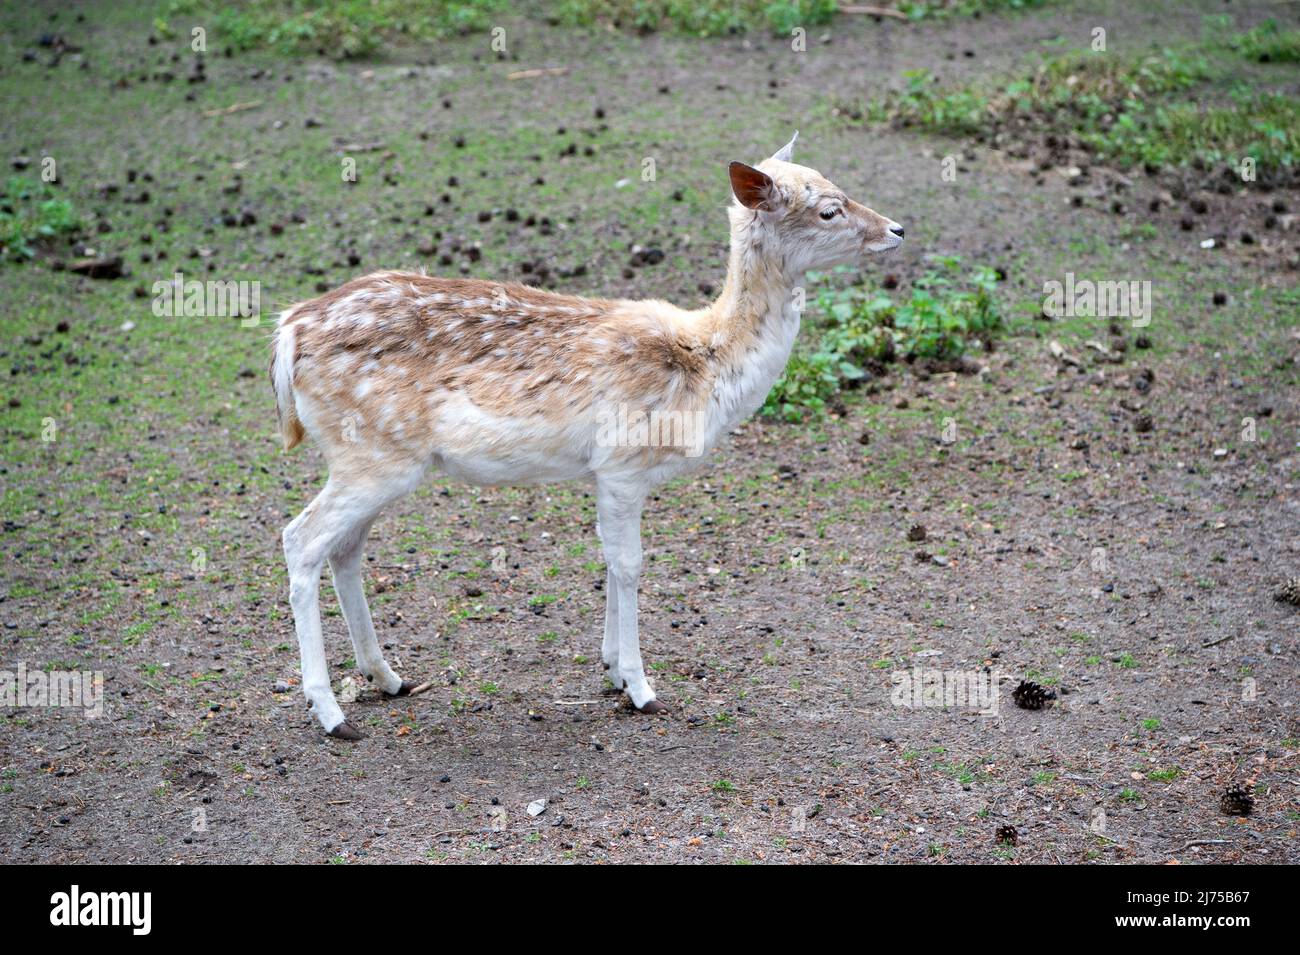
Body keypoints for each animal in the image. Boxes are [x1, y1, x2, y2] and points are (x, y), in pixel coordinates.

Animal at [271, 133, 904, 739]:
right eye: (828, 209)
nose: (897, 228)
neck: (705, 366)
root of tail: (286, 334)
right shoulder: (622, 462)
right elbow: (629, 563)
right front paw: (642, 687)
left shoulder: (607, 472)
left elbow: (607, 557)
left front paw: (611, 670)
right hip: (372, 454)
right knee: (301, 539)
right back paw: (331, 714)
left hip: (375, 461)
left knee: (344, 548)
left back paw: (388, 678)